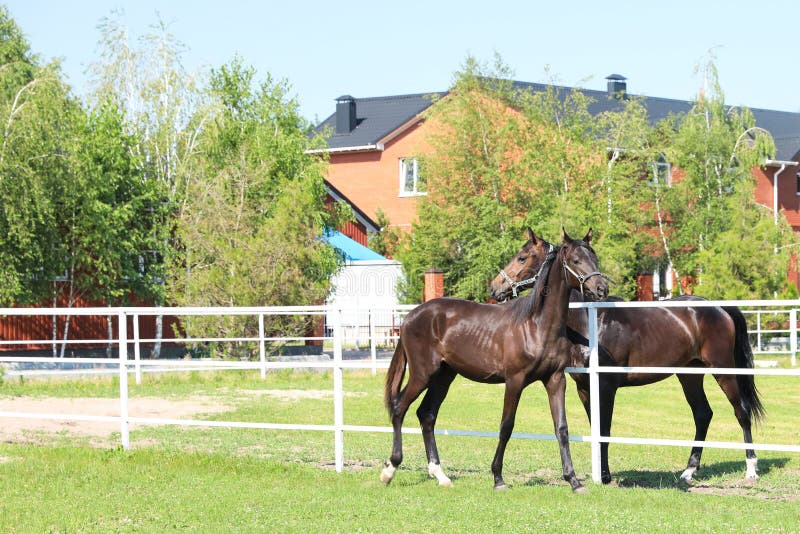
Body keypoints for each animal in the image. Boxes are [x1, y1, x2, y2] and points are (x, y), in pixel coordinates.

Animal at [380, 228, 609, 492]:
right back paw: (390, 469)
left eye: (594, 258)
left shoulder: (555, 379)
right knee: (399, 408)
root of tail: (409, 318)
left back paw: (440, 475)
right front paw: (498, 478)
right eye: (575, 260)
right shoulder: (514, 381)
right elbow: (506, 426)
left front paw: (573, 481)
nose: (601, 288)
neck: (536, 325)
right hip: (422, 374)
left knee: (426, 415)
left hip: (443, 377)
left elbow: (561, 428)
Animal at [490, 228, 765, 484]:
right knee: (703, 414)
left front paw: (605, 476)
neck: (590, 323)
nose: (495, 287)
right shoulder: (585, 388)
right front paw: (601, 473)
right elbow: (596, 428)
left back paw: (751, 469)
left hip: (723, 369)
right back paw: (689, 470)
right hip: (690, 374)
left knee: (741, 411)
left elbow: (606, 430)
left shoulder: (606, 387)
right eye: (577, 260)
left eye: (522, 258)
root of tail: (718, 307)